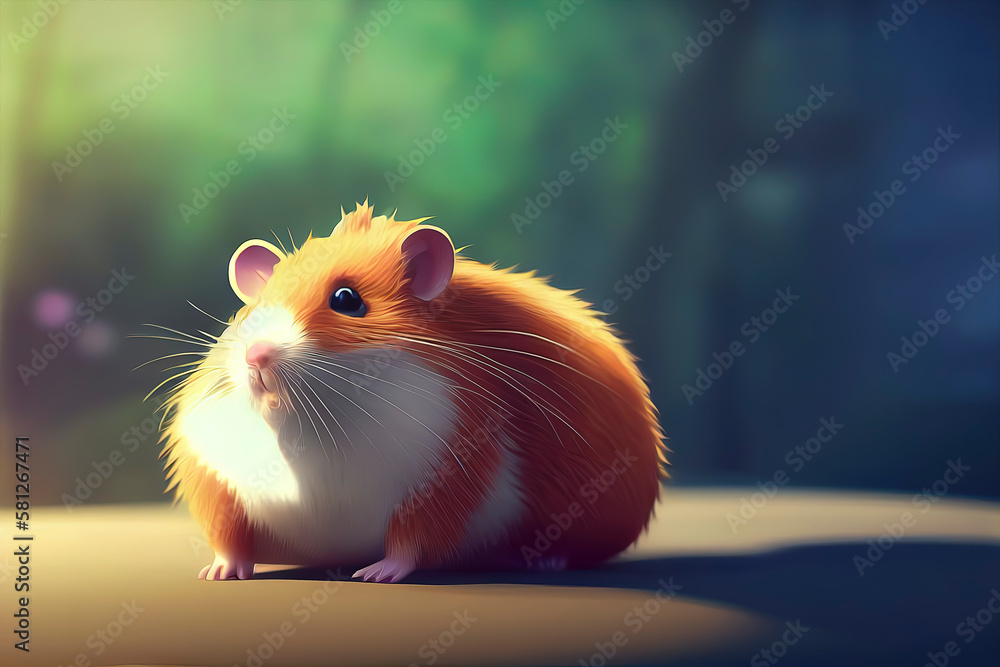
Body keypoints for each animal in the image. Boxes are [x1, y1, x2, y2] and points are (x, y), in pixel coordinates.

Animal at [158, 201, 667, 582]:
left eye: (347, 300)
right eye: (254, 309)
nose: (256, 356)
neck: (310, 421)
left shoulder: (450, 467)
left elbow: (414, 539)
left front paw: (377, 573)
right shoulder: (214, 471)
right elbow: (228, 532)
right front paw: (220, 570)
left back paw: (546, 561)